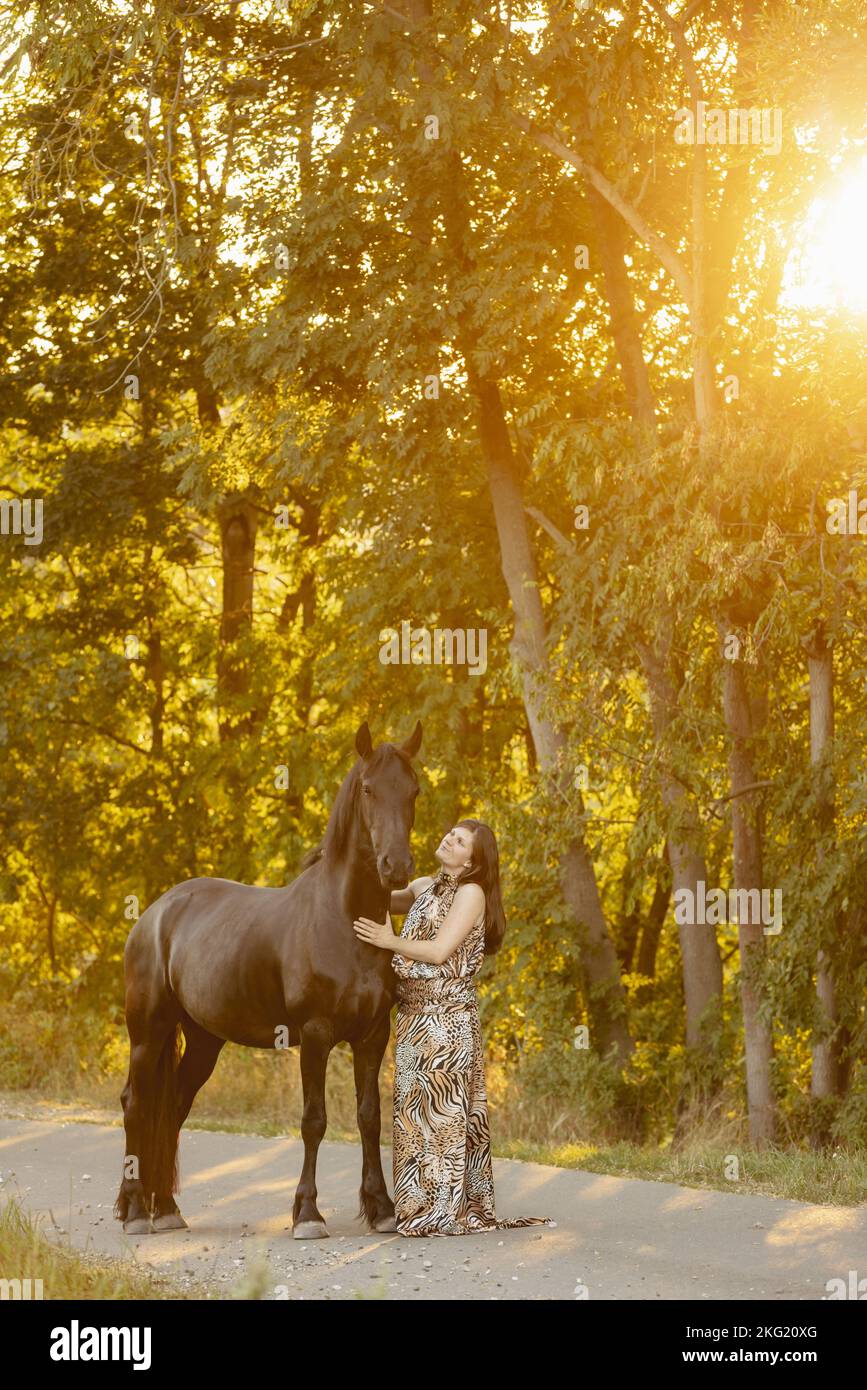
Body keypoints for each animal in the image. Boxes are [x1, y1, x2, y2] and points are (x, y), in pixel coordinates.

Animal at [114, 719, 422, 1237]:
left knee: (172, 1107)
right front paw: (308, 1213)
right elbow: (314, 1120)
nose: (396, 867)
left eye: (414, 790)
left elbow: (370, 1117)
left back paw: (167, 1209)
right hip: (148, 1032)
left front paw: (381, 1208)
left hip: (203, 1041)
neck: (344, 922)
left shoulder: (373, 1035)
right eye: (368, 789)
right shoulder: (316, 1035)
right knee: (136, 1104)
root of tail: (154, 914)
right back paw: (135, 1210)